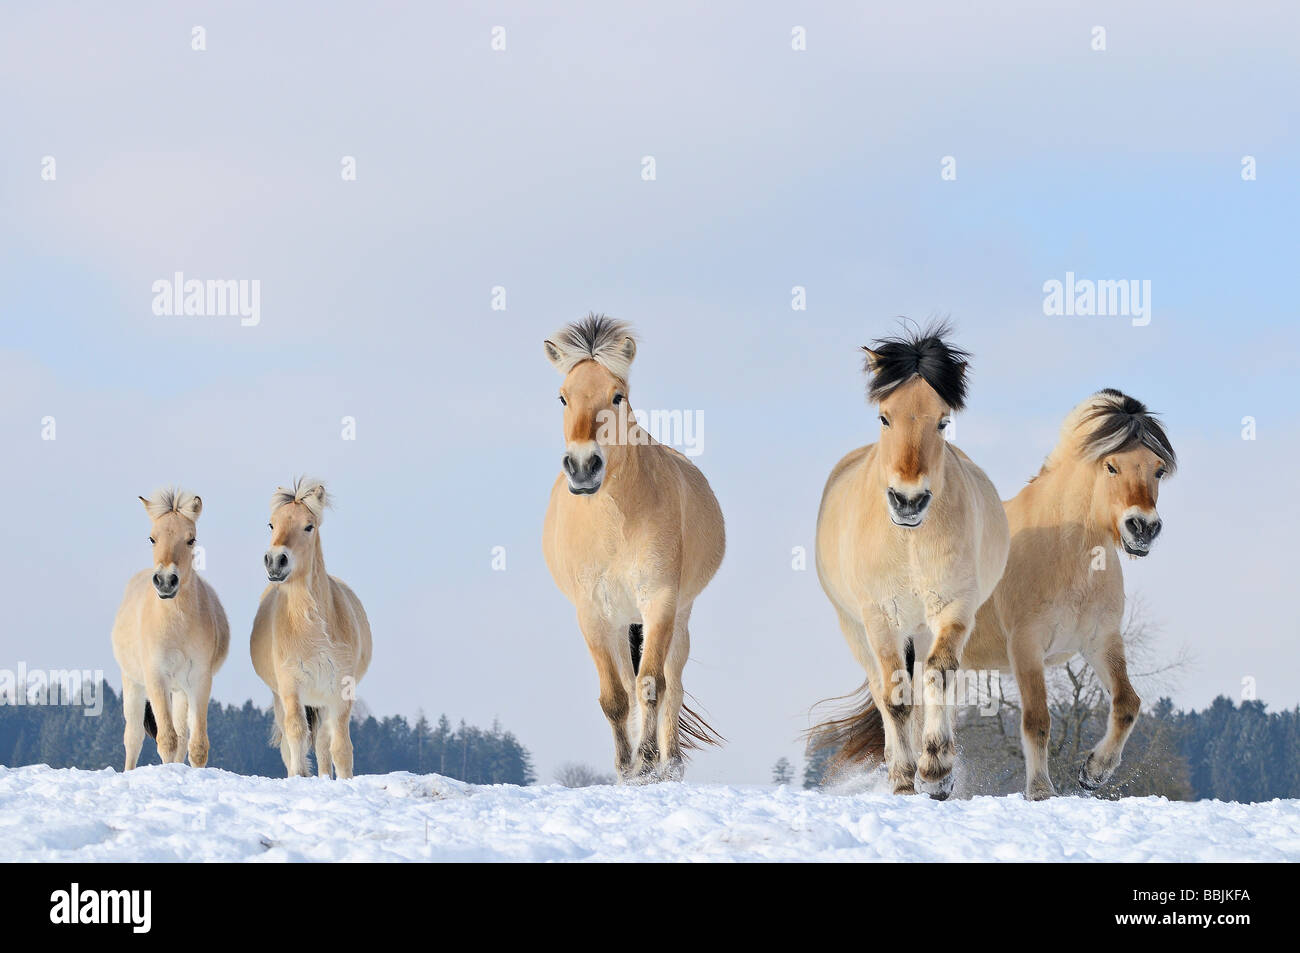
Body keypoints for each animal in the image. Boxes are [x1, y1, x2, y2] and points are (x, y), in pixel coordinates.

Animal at [111, 488, 230, 770]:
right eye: (152, 538)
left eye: (191, 539)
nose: (166, 581)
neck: (175, 625)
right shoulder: (156, 678)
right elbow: (166, 740)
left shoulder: (199, 679)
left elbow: (196, 745)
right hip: (133, 684)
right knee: (133, 737)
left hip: (181, 690)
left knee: (183, 734)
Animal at [250, 478, 373, 778]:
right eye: (271, 524)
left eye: (309, 526)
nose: (275, 560)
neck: (309, 628)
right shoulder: (289, 687)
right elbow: (296, 734)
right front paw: (298, 776)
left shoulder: (340, 692)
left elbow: (340, 748)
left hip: (321, 701)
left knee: (323, 744)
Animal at [542, 314, 724, 783]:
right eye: (563, 397)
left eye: (617, 395)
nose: (583, 466)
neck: (614, 524)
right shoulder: (591, 613)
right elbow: (615, 696)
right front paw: (626, 767)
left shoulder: (659, 602)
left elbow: (652, 686)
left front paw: (647, 760)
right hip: (620, 623)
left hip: (678, 617)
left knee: (672, 684)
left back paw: (670, 763)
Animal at [811, 323, 1010, 797]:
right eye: (885, 416)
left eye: (943, 421)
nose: (908, 500)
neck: (908, 542)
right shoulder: (880, 617)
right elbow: (895, 696)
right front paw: (903, 777)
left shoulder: (954, 609)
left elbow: (939, 677)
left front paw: (937, 768)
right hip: (858, 629)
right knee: (885, 689)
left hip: (921, 628)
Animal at [960, 389, 1176, 799]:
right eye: (1111, 466)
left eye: (1157, 469)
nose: (1143, 528)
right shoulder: (1026, 645)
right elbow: (1036, 720)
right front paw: (1040, 791)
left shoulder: (1101, 640)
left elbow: (1127, 703)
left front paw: (1093, 772)